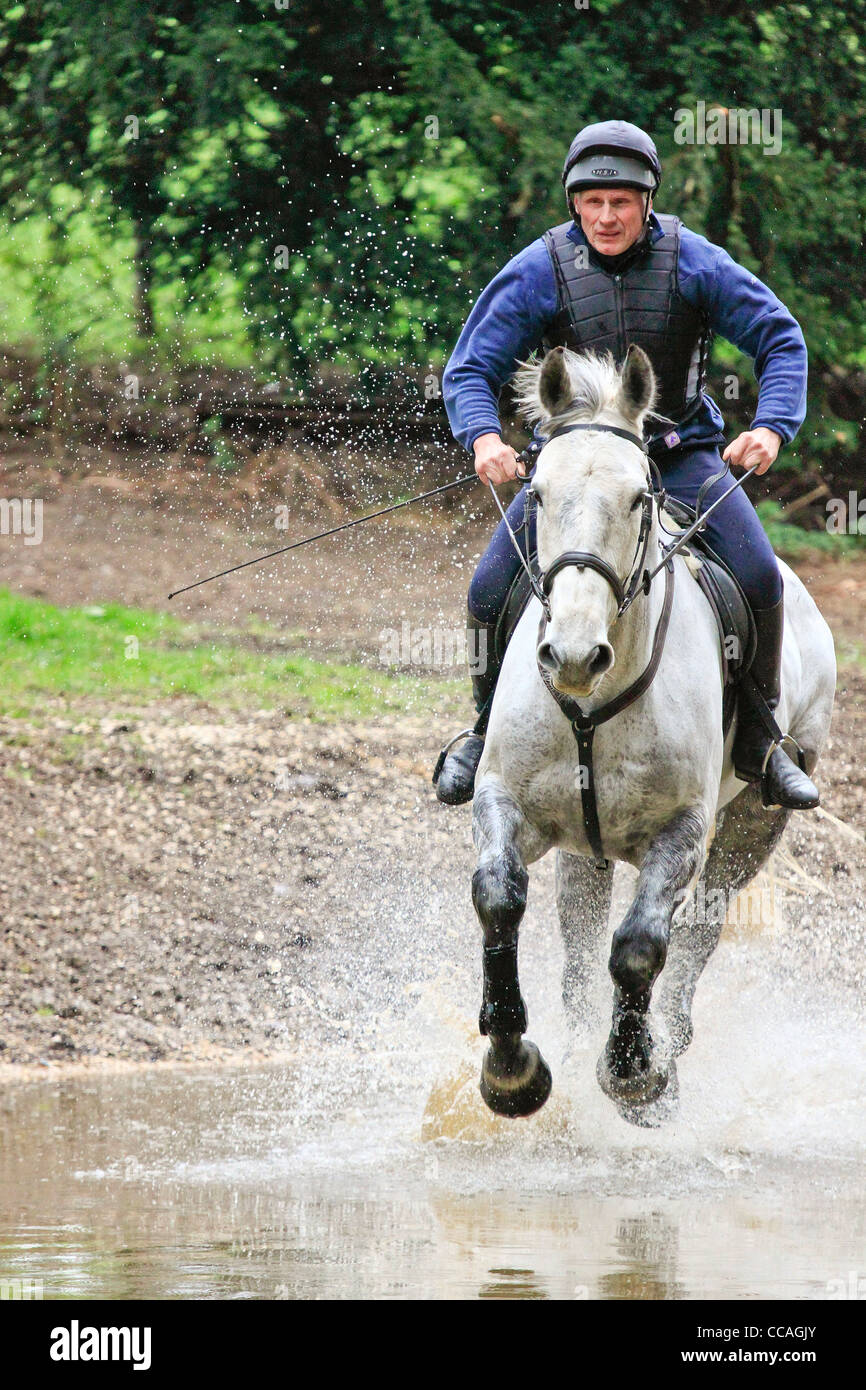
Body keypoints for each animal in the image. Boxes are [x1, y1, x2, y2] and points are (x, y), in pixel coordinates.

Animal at [470, 343, 836, 1123]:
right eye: (536, 493)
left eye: (639, 497)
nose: (574, 656)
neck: (594, 704)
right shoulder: (504, 800)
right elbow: (499, 897)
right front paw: (512, 1070)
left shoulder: (683, 831)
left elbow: (639, 945)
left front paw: (636, 1074)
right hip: (586, 843)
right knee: (579, 932)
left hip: (752, 824)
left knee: (697, 932)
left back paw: (665, 1044)